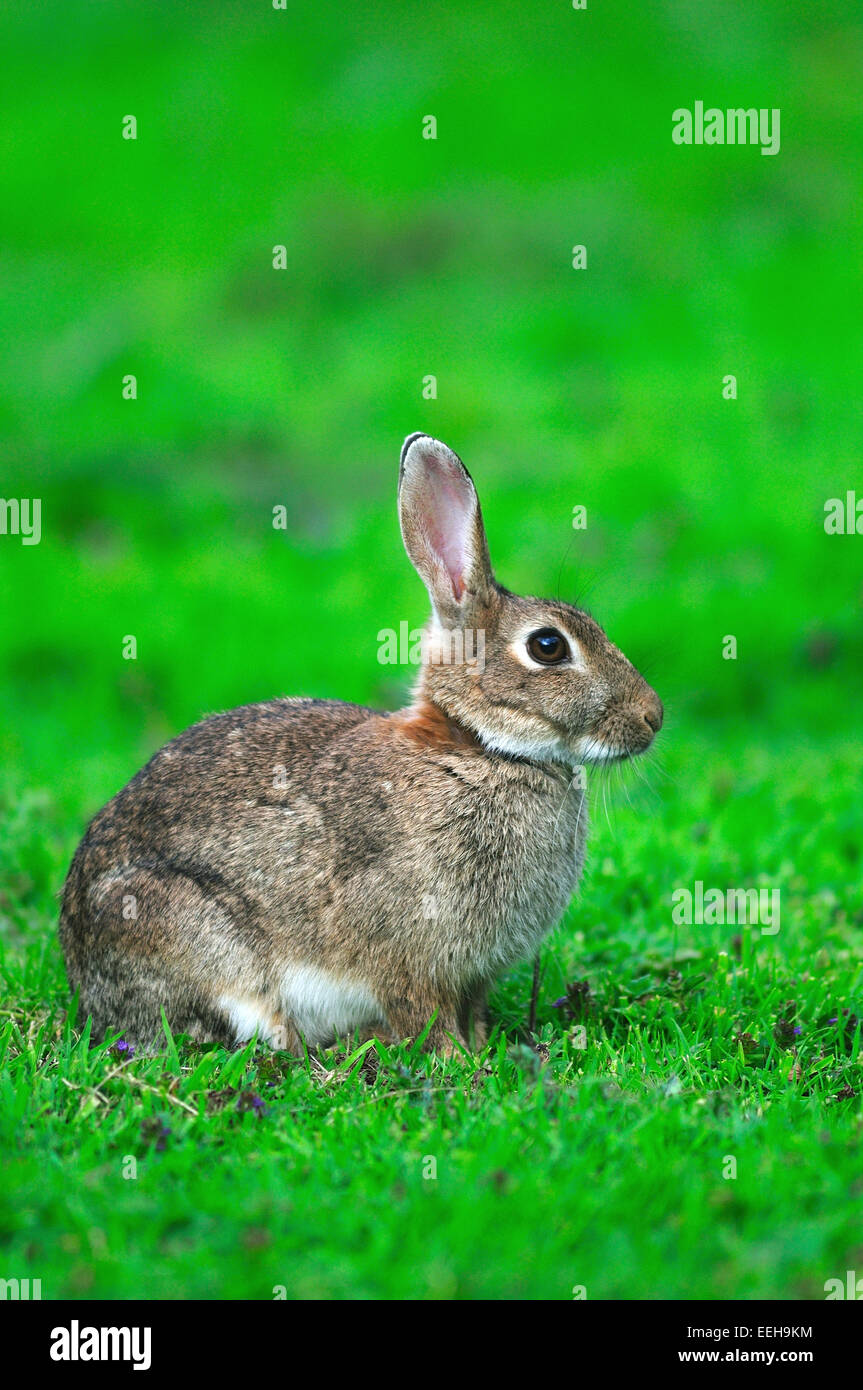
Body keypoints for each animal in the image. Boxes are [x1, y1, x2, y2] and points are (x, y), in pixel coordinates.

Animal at [59, 433, 662, 1056]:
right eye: (548, 646)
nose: (653, 717)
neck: (478, 748)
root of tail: (82, 970)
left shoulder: (472, 976)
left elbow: (470, 1013)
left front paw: (478, 1050)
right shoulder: (407, 955)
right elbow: (424, 1016)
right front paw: (460, 1063)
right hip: (188, 938)